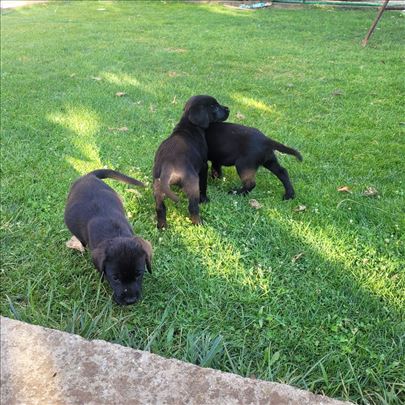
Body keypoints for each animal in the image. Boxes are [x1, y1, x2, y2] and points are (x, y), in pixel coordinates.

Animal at [152, 94, 227, 227]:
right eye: (214, 107)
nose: (228, 109)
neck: (188, 125)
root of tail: (167, 165)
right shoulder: (203, 166)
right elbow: (204, 185)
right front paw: (205, 199)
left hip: (157, 188)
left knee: (160, 208)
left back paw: (162, 227)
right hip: (192, 184)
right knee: (193, 207)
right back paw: (199, 223)